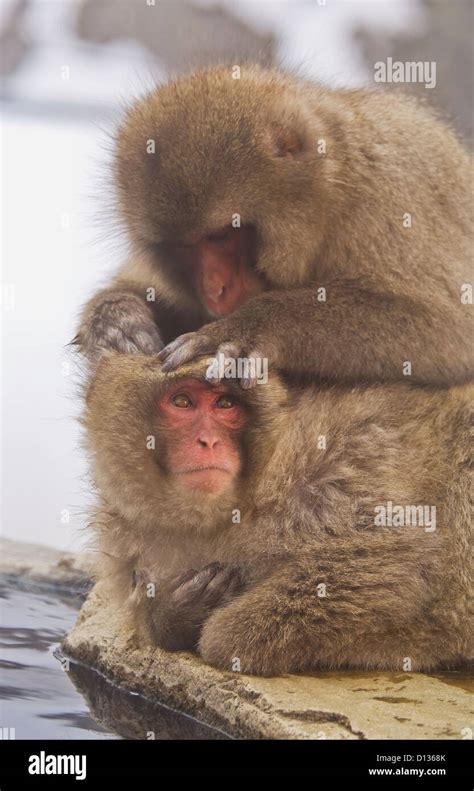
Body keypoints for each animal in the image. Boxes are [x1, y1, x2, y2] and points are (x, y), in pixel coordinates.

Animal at [74, 65, 473, 387]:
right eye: (184, 248)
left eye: (222, 234)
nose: (213, 289)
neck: (335, 193)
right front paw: (116, 319)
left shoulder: (388, 197)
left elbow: (451, 330)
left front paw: (256, 325)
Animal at [82, 353, 473, 676]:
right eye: (182, 401)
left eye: (225, 403)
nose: (208, 441)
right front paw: (173, 615)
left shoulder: (331, 453)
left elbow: (388, 554)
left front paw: (221, 634)